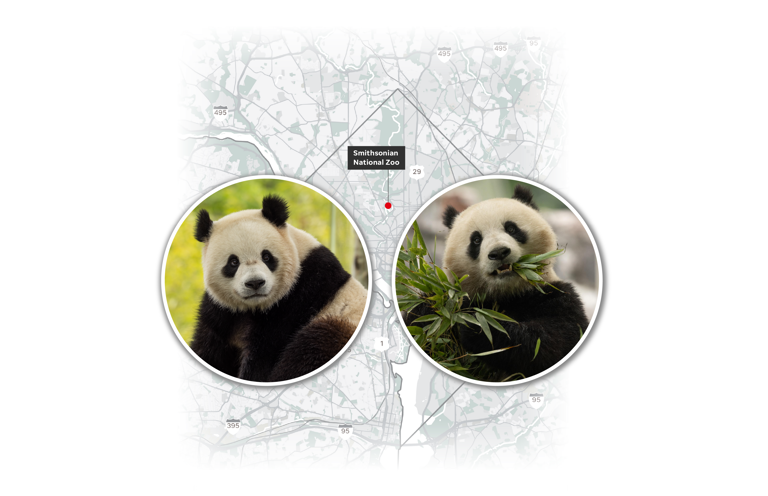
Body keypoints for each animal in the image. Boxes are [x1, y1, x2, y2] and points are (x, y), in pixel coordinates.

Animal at [189, 195, 368, 382]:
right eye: (233, 262)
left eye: (266, 256)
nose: (255, 283)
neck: (253, 308)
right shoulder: (222, 311)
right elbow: (209, 348)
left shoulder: (298, 298)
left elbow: (264, 356)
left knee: (314, 346)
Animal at [406, 185, 589, 379]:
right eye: (476, 239)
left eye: (511, 229)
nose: (499, 252)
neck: (507, 294)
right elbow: (422, 321)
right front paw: (429, 310)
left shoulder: (556, 296)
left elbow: (551, 342)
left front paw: (477, 325)